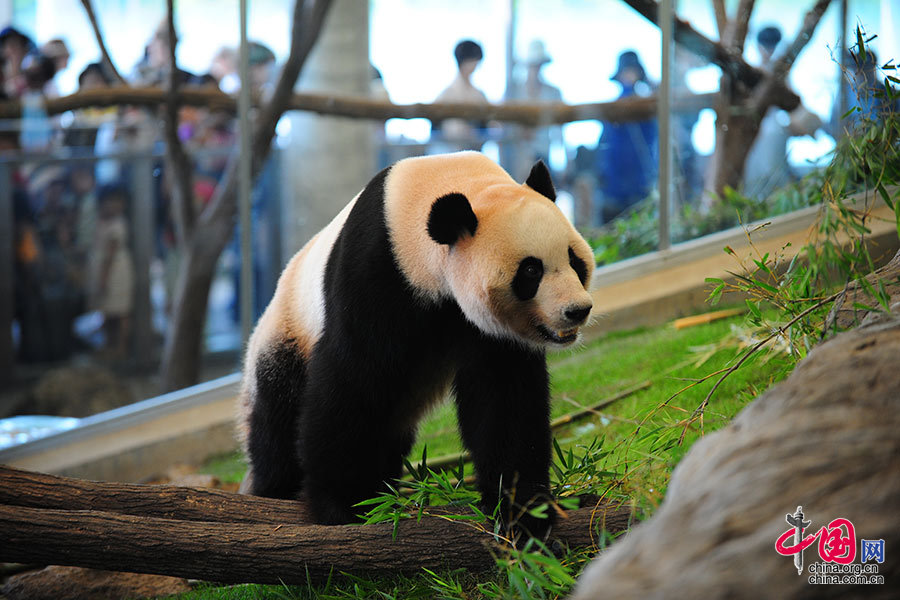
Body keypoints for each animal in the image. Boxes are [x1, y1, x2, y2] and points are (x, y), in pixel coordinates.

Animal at [238, 151, 594, 537]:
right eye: (530, 271)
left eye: (574, 260)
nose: (577, 310)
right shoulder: (377, 269)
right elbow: (352, 378)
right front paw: (344, 505)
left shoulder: (489, 330)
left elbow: (506, 400)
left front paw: (525, 513)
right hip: (284, 338)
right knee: (278, 426)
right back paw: (277, 491)